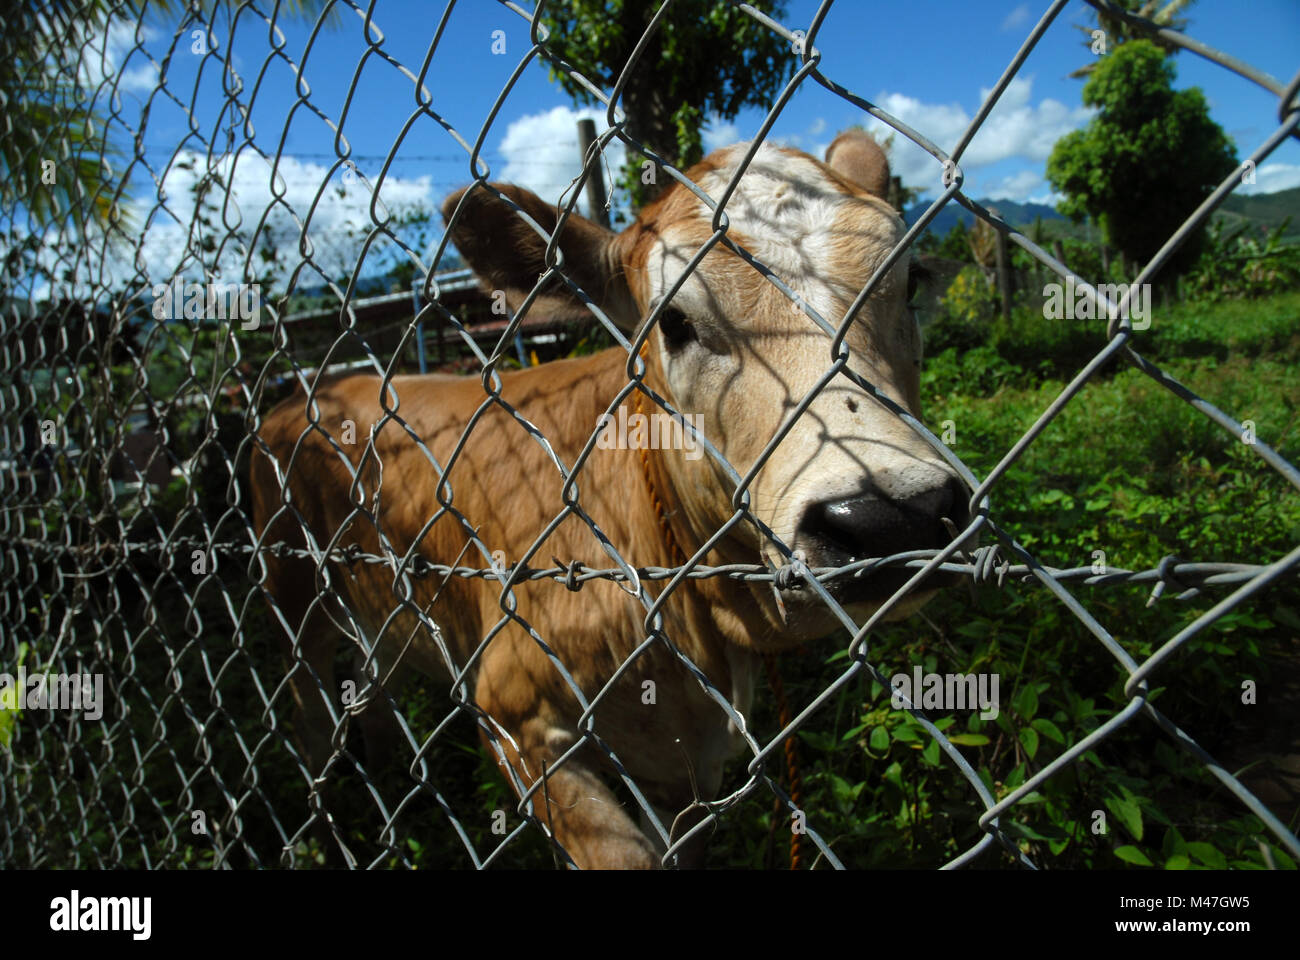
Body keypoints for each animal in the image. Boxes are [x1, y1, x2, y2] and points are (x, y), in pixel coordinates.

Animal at [250, 130, 968, 869]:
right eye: (673, 322)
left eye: (910, 283)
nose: (892, 519)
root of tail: (307, 392)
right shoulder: (519, 716)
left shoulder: (691, 765)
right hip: (293, 596)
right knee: (309, 720)